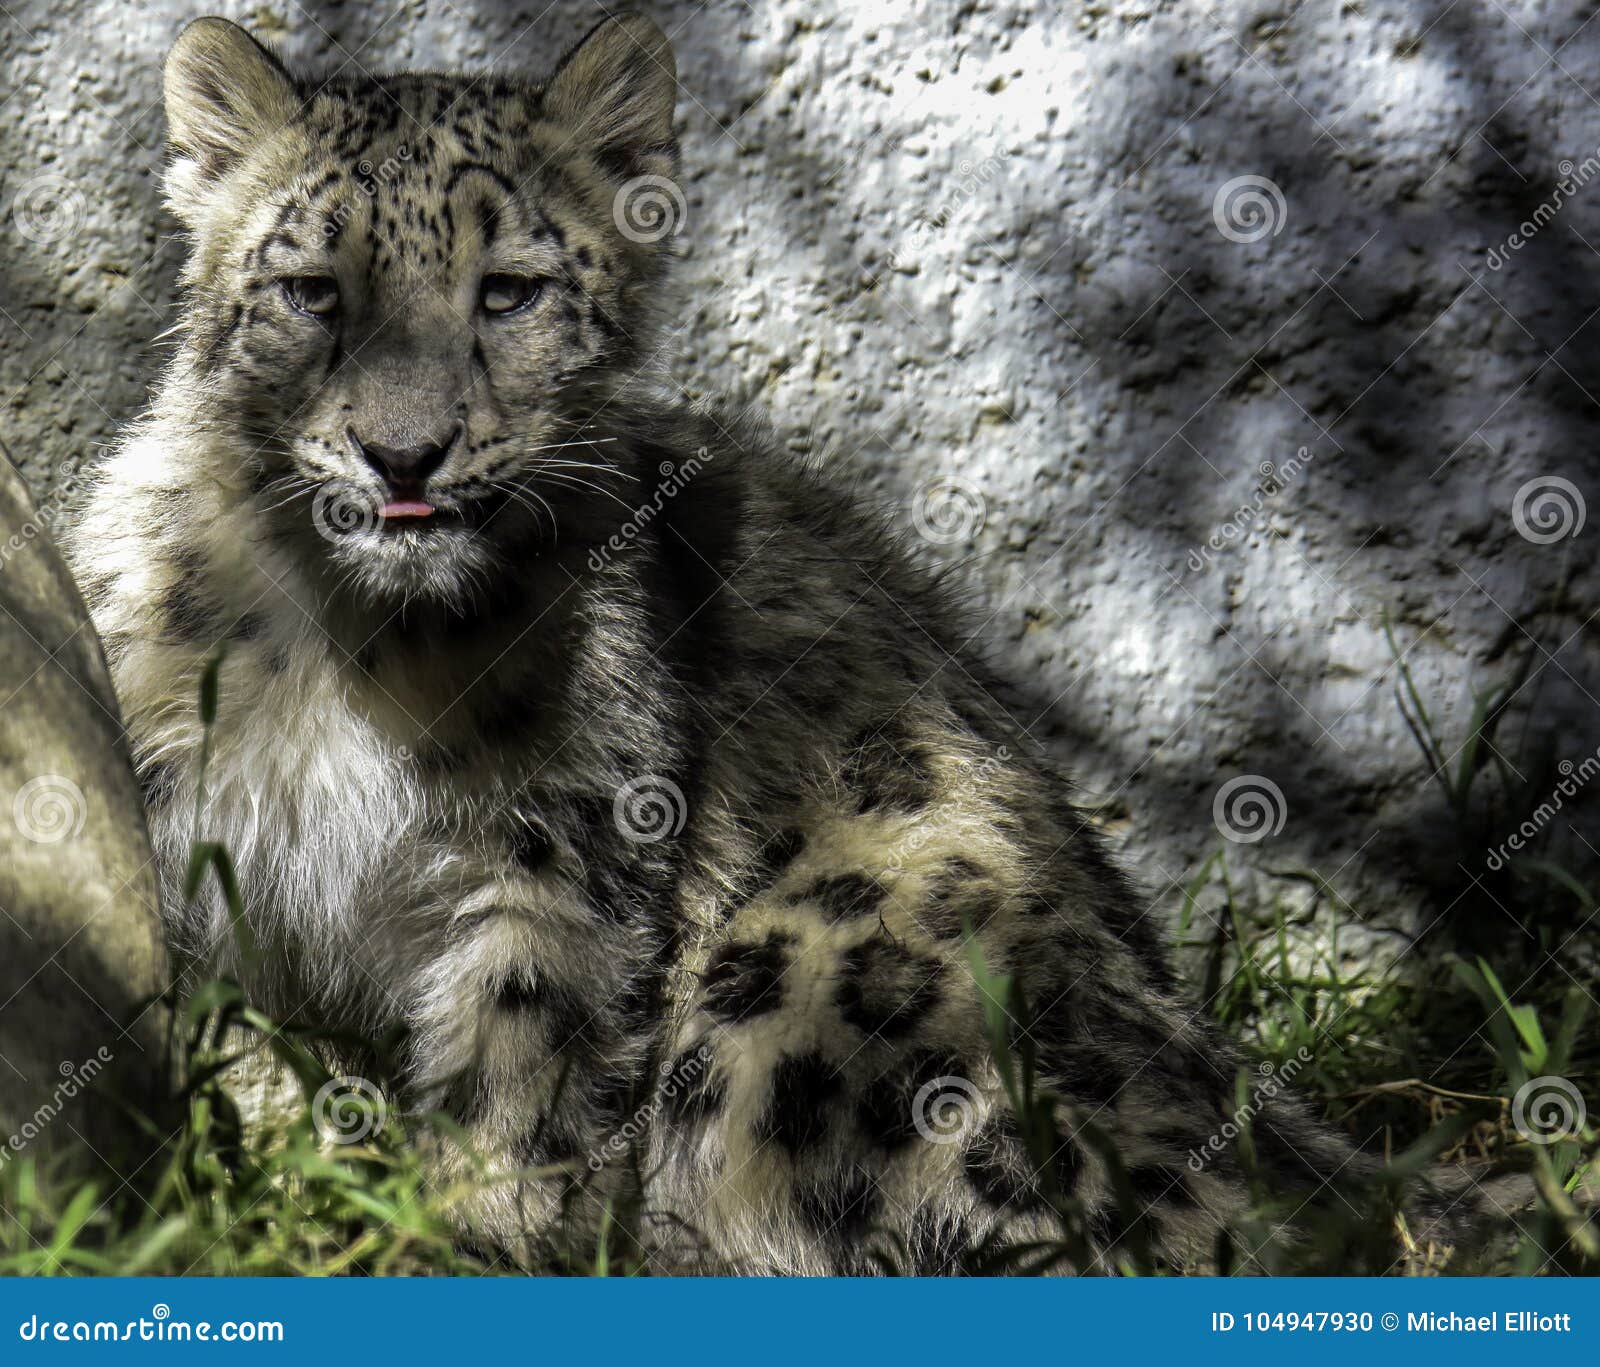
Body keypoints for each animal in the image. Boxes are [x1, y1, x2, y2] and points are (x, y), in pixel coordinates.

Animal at [64, 12, 1533, 1274]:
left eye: (509, 292)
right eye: (313, 290)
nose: (404, 452)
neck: (356, 652)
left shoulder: (560, 851)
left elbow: (523, 1077)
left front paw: (469, 1234)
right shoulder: (188, 832)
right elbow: (244, 1045)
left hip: (816, 968)